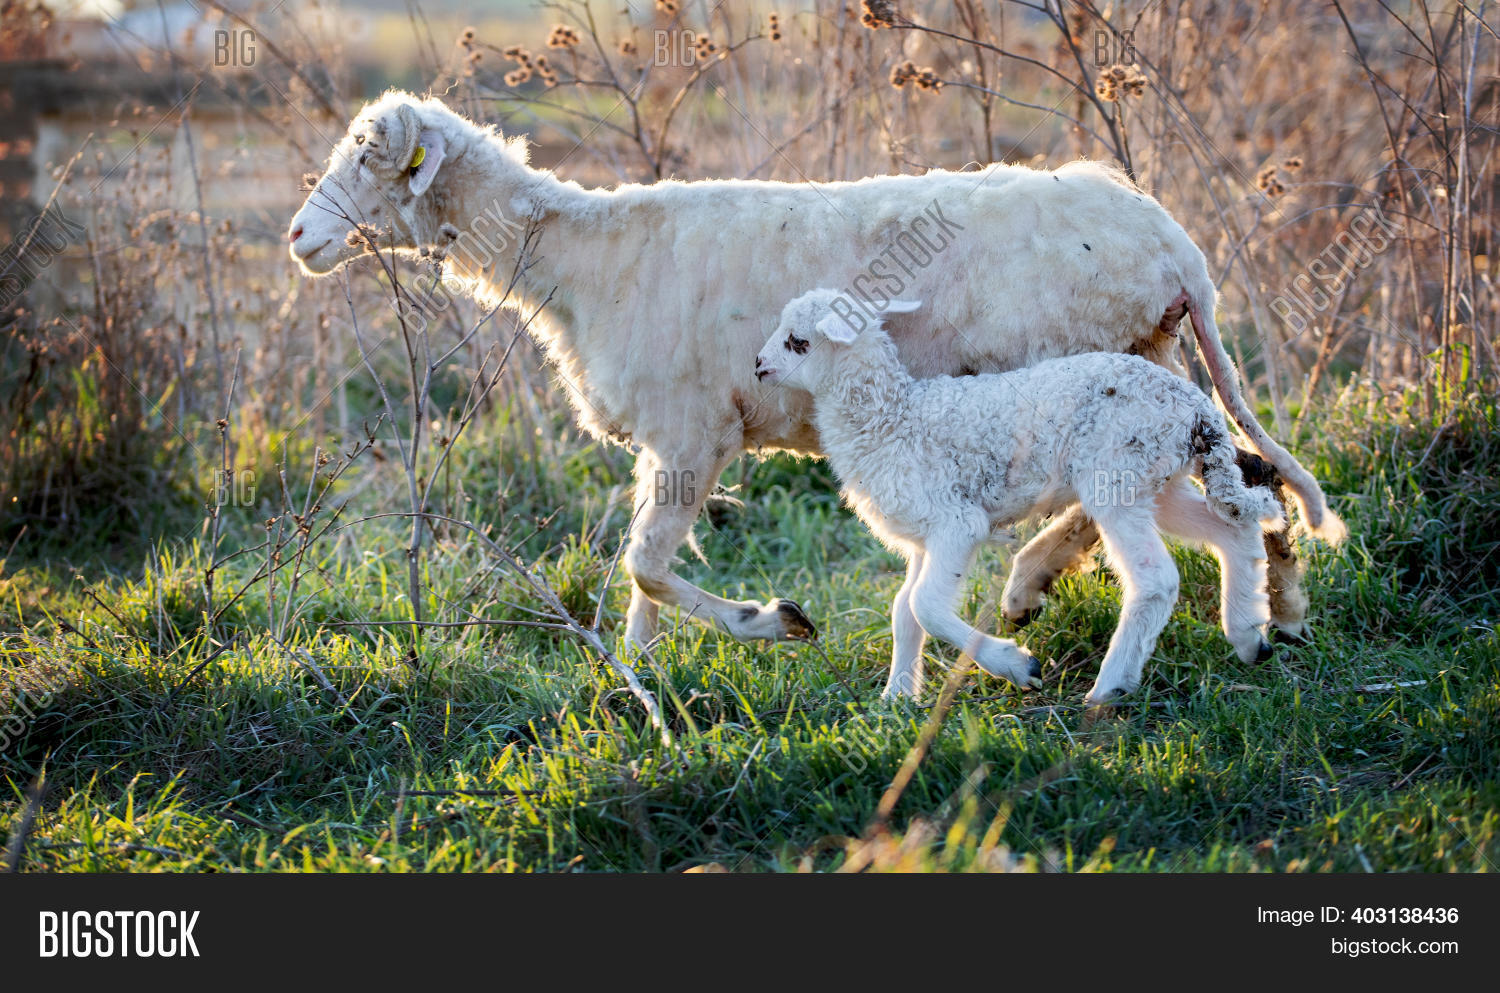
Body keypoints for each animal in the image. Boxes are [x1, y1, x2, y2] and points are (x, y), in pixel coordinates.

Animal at [286, 90, 1343, 656]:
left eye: (372, 159)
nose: (299, 237)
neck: (583, 263)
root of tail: (1175, 245)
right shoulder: (672, 440)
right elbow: (642, 574)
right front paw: (635, 683)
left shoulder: (695, 428)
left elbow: (646, 565)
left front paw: (772, 620)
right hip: (1150, 358)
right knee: (1234, 484)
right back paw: (1273, 606)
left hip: (1105, 367)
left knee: (1121, 494)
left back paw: (1030, 585)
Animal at [753, 289, 1287, 705]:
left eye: (797, 341)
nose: (758, 366)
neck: (890, 417)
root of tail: (1195, 409)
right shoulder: (923, 538)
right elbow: (904, 611)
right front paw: (895, 699)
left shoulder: (956, 523)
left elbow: (926, 606)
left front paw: (1016, 665)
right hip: (1157, 483)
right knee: (1233, 529)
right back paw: (1248, 637)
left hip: (1115, 476)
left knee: (1156, 579)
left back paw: (1109, 688)